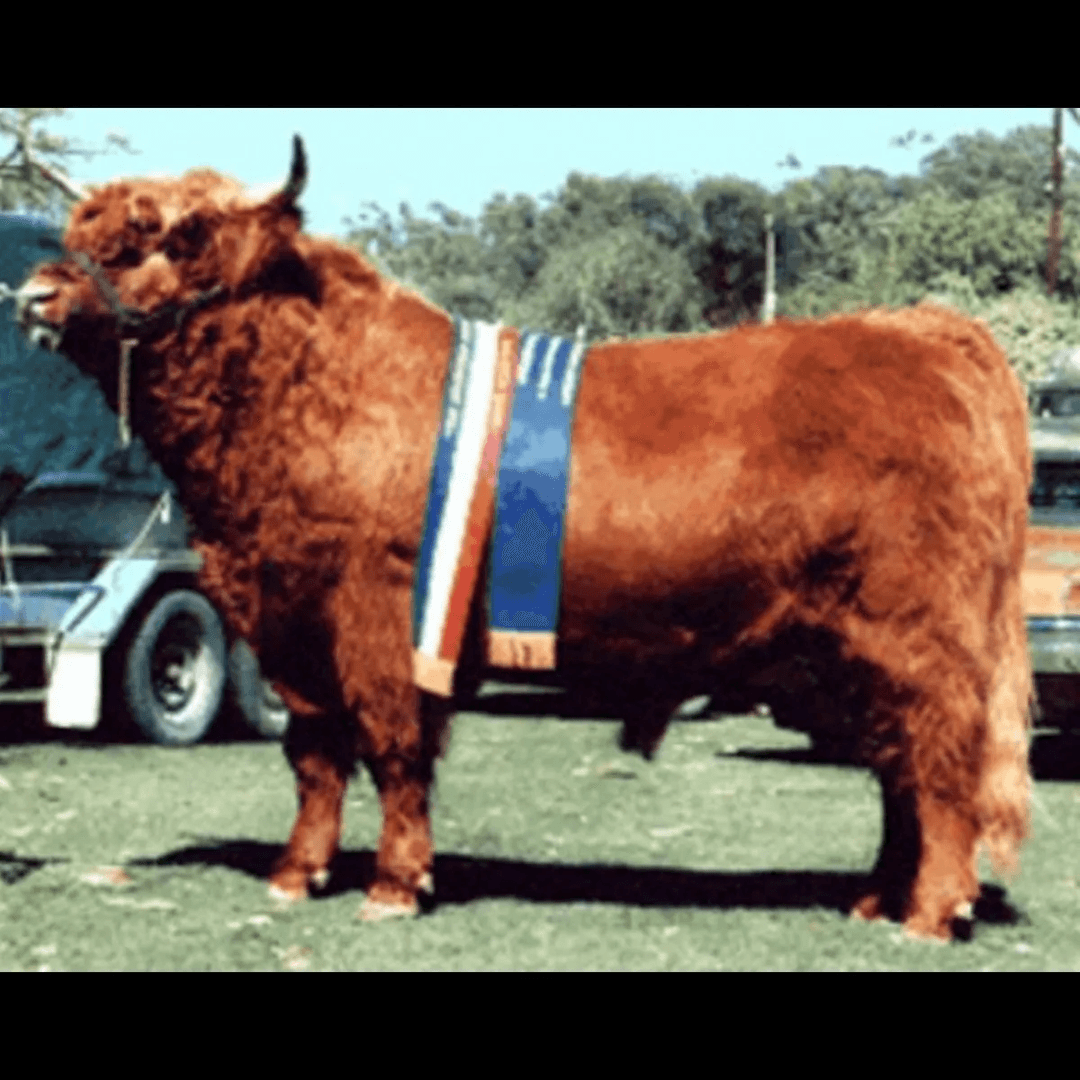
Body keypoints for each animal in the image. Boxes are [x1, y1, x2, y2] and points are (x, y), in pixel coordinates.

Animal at [16, 137, 1032, 941]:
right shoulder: (285, 623)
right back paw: (877, 899)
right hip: (854, 652)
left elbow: (393, 746)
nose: (31, 295)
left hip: (916, 640)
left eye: (168, 237)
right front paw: (296, 873)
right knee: (902, 771)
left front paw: (395, 884)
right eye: (83, 234)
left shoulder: (383, 617)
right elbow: (314, 753)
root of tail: (924, 331)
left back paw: (930, 912)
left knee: (942, 762)